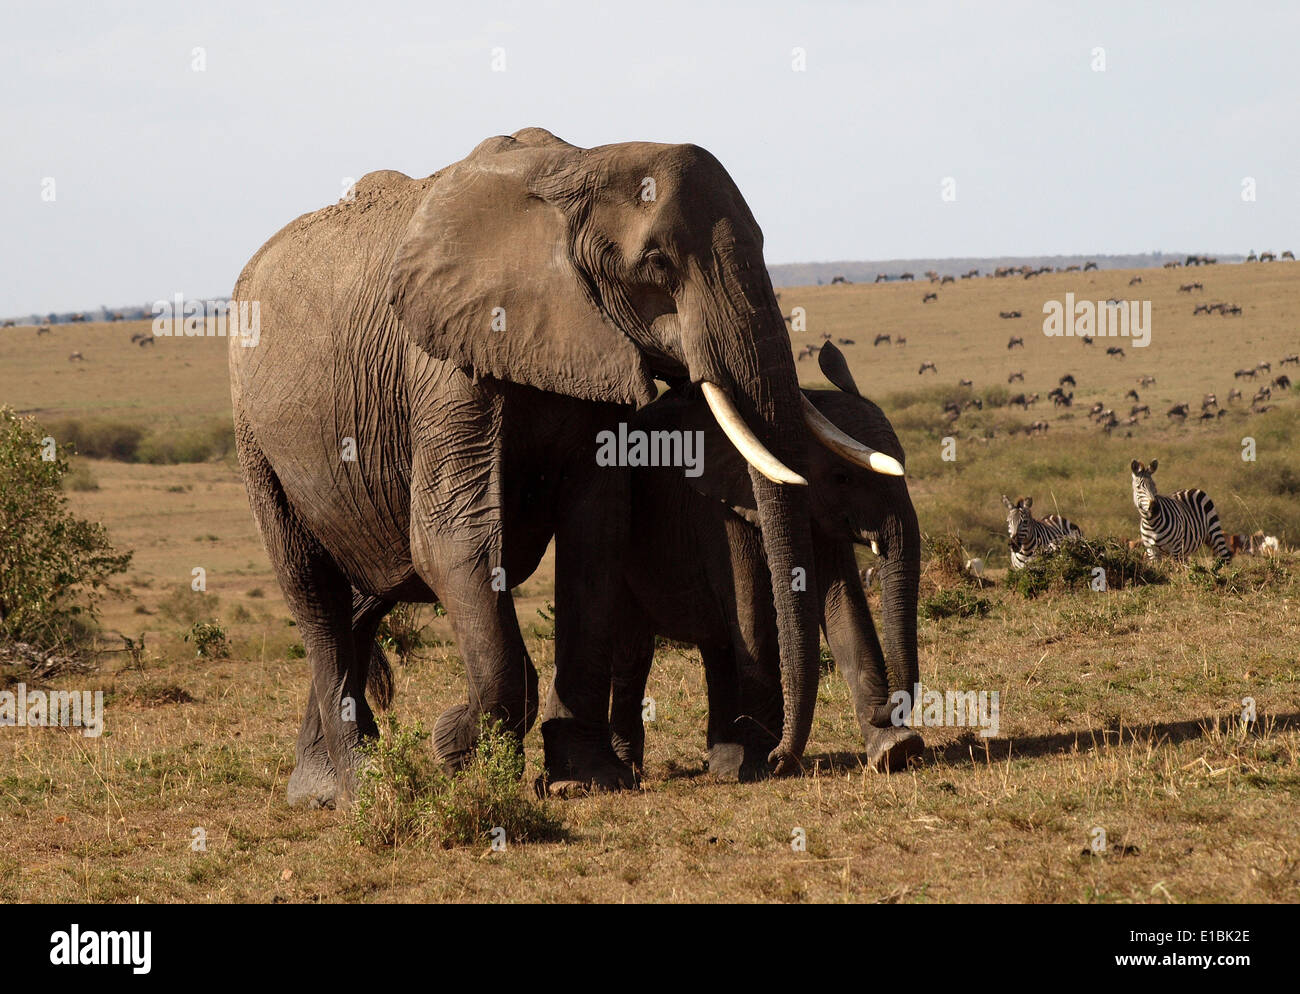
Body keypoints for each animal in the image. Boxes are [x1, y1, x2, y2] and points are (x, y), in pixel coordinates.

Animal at [606, 344, 922, 779]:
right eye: (842, 478)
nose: (886, 707)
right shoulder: (721, 515)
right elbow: (753, 617)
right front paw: (762, 764)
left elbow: (843, 608)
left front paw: (895, 750)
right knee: (633, 649)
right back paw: (632, 769)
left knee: (717, 649)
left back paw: (724, 763)